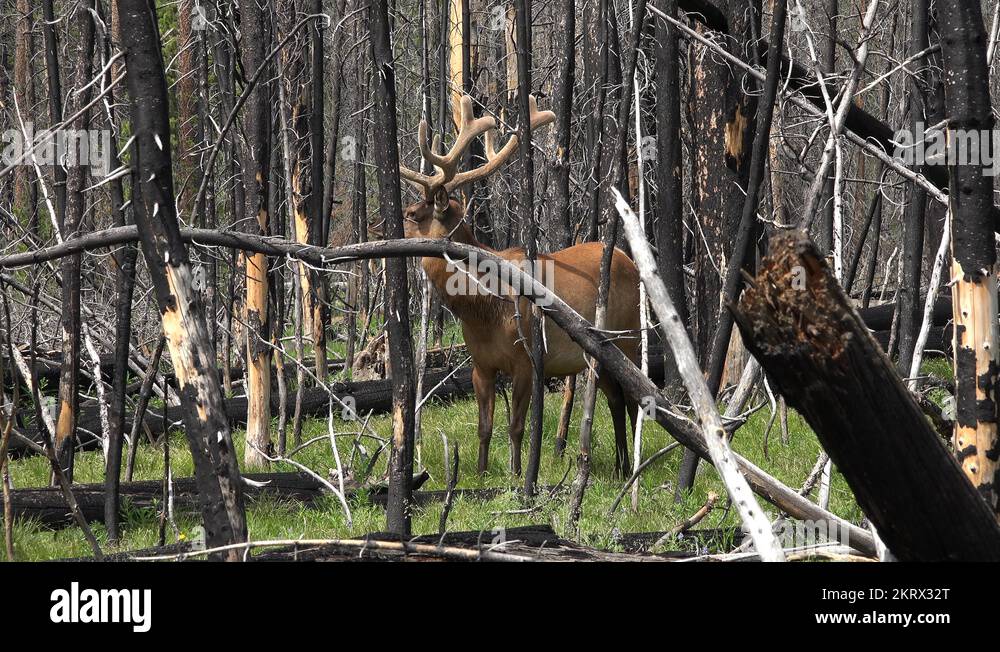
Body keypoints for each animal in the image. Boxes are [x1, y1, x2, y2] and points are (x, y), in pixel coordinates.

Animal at [399, 94, 641, 478]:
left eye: (412, 213)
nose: (384, 226)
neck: (483, 308)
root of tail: (628, 259)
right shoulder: (481, 365)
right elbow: (484, 426)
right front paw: (481, 474)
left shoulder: (527, 361)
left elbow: (516, 426)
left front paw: (515, 475)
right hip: (594, 356)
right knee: (615, 398)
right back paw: (619, 465)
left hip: (630, 338)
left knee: (634, 400)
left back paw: (632, 468)